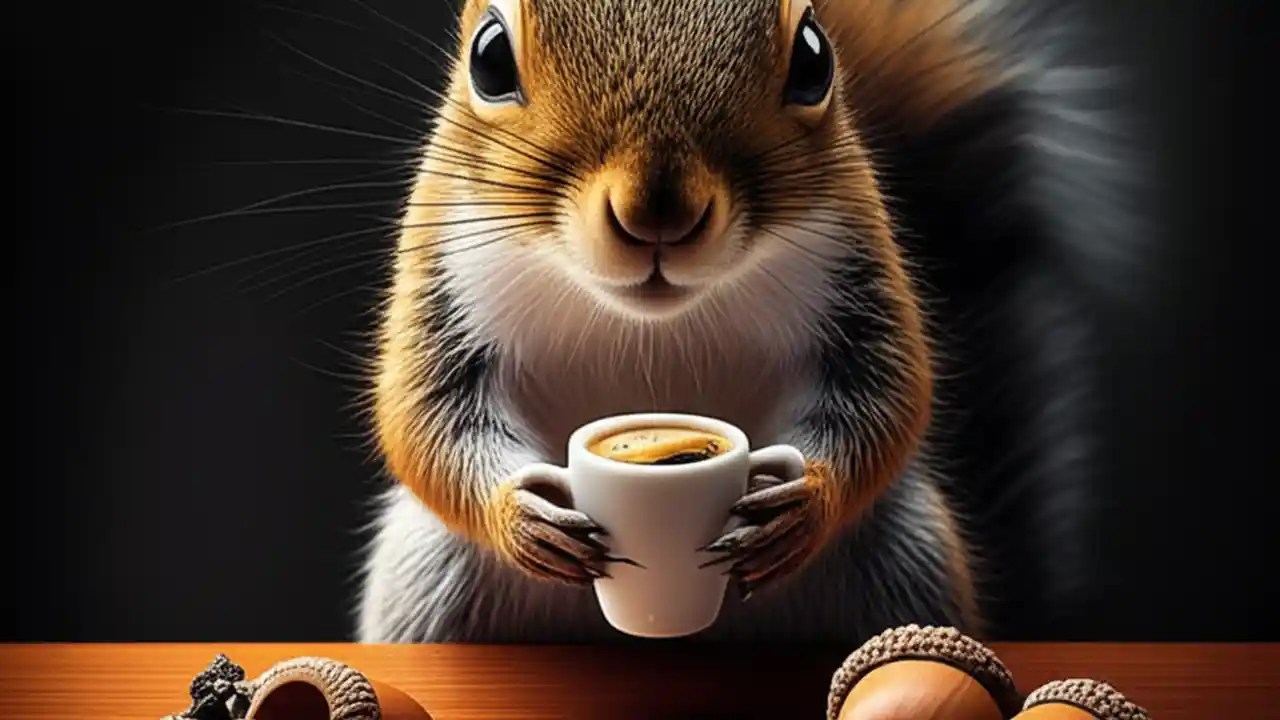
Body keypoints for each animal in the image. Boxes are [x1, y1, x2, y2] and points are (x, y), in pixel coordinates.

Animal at [357, 0, 1133, 643]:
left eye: (815, 59)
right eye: (489, 57)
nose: (657, 213)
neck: (652, 323)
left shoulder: (860, 272)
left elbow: (888, 399)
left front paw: (805, 504)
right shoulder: (441, 277)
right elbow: (422, 418)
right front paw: (522, 520)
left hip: (910, 561)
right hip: (430, 583)